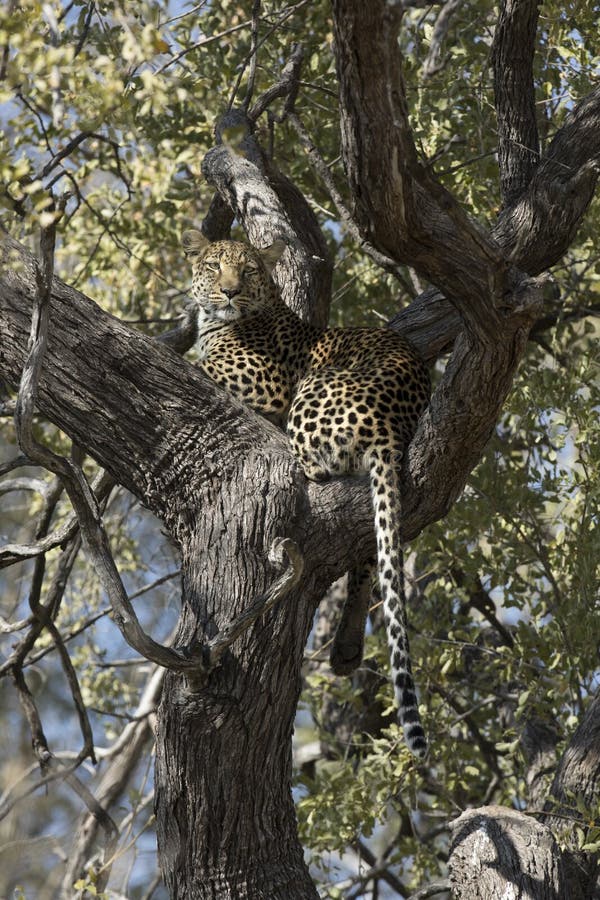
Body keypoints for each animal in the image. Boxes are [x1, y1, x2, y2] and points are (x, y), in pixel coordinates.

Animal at [182, 229, 431, 757]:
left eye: (249, 270)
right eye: (214, 267)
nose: (230, 292)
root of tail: (392, 429)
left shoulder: (268, 384)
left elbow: (200, 360)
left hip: (310, 389)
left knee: (313, 471)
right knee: (369, 553)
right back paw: (347, 647)